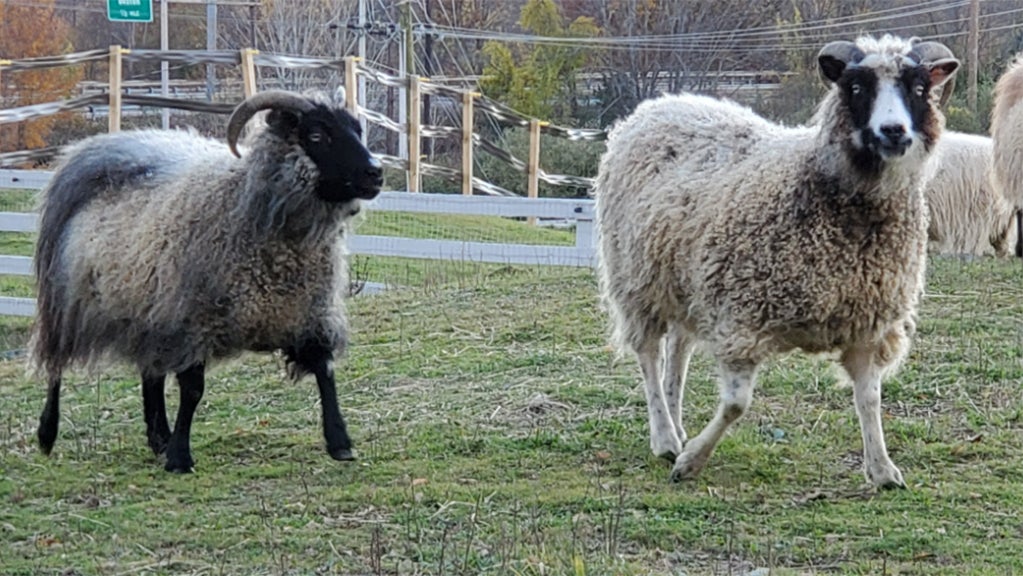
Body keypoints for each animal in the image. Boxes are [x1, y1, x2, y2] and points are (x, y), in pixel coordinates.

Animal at [31, 89, 384, 473]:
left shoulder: (307, 313)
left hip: (149, 307)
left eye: (357, 130)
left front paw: (340, 441)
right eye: (317, 135)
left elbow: (324, 370)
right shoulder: (194, 320)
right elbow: (193, 390)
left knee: (151, 374)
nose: (376, 173)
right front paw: (180, 457)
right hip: (66, 301)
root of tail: (87, 147)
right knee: (54, 368)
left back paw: (158, 437)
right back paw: (47, 434)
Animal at [594, 35, 959, 489]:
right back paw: (664, 437)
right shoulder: (743, 316)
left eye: (920, 89)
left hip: (686, 281)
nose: (893, 131)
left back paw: (677, 429)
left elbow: (870, 399)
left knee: (678, 352)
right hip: (636, 278)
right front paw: (692, 461)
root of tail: (661, 103)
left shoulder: (868, 324)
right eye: (856, 88)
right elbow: (736, 404)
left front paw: (882, 468)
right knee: (649, 356)